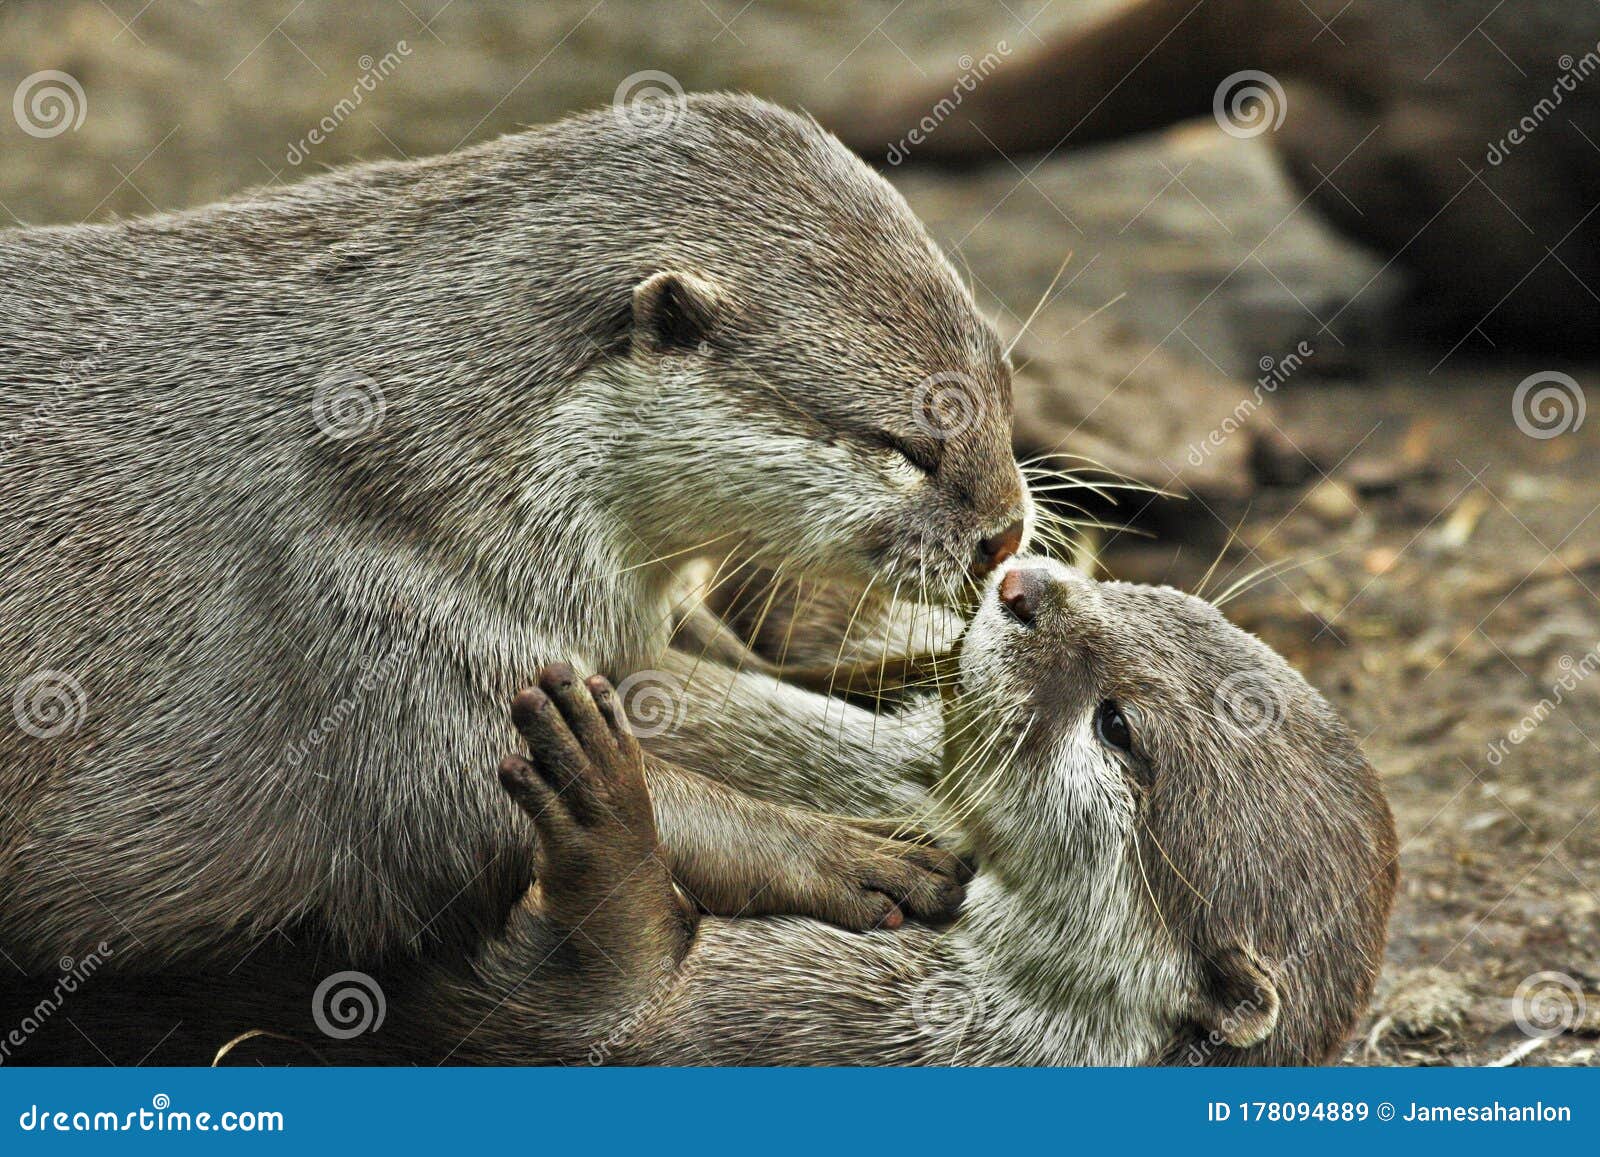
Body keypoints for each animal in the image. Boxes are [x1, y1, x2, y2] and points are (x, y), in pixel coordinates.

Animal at [0, 95, 1030, 1020]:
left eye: (1003, 383)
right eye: (904, 445)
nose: (1008, 533)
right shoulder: (365, 607)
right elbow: (475, 806)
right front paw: (854, 855)